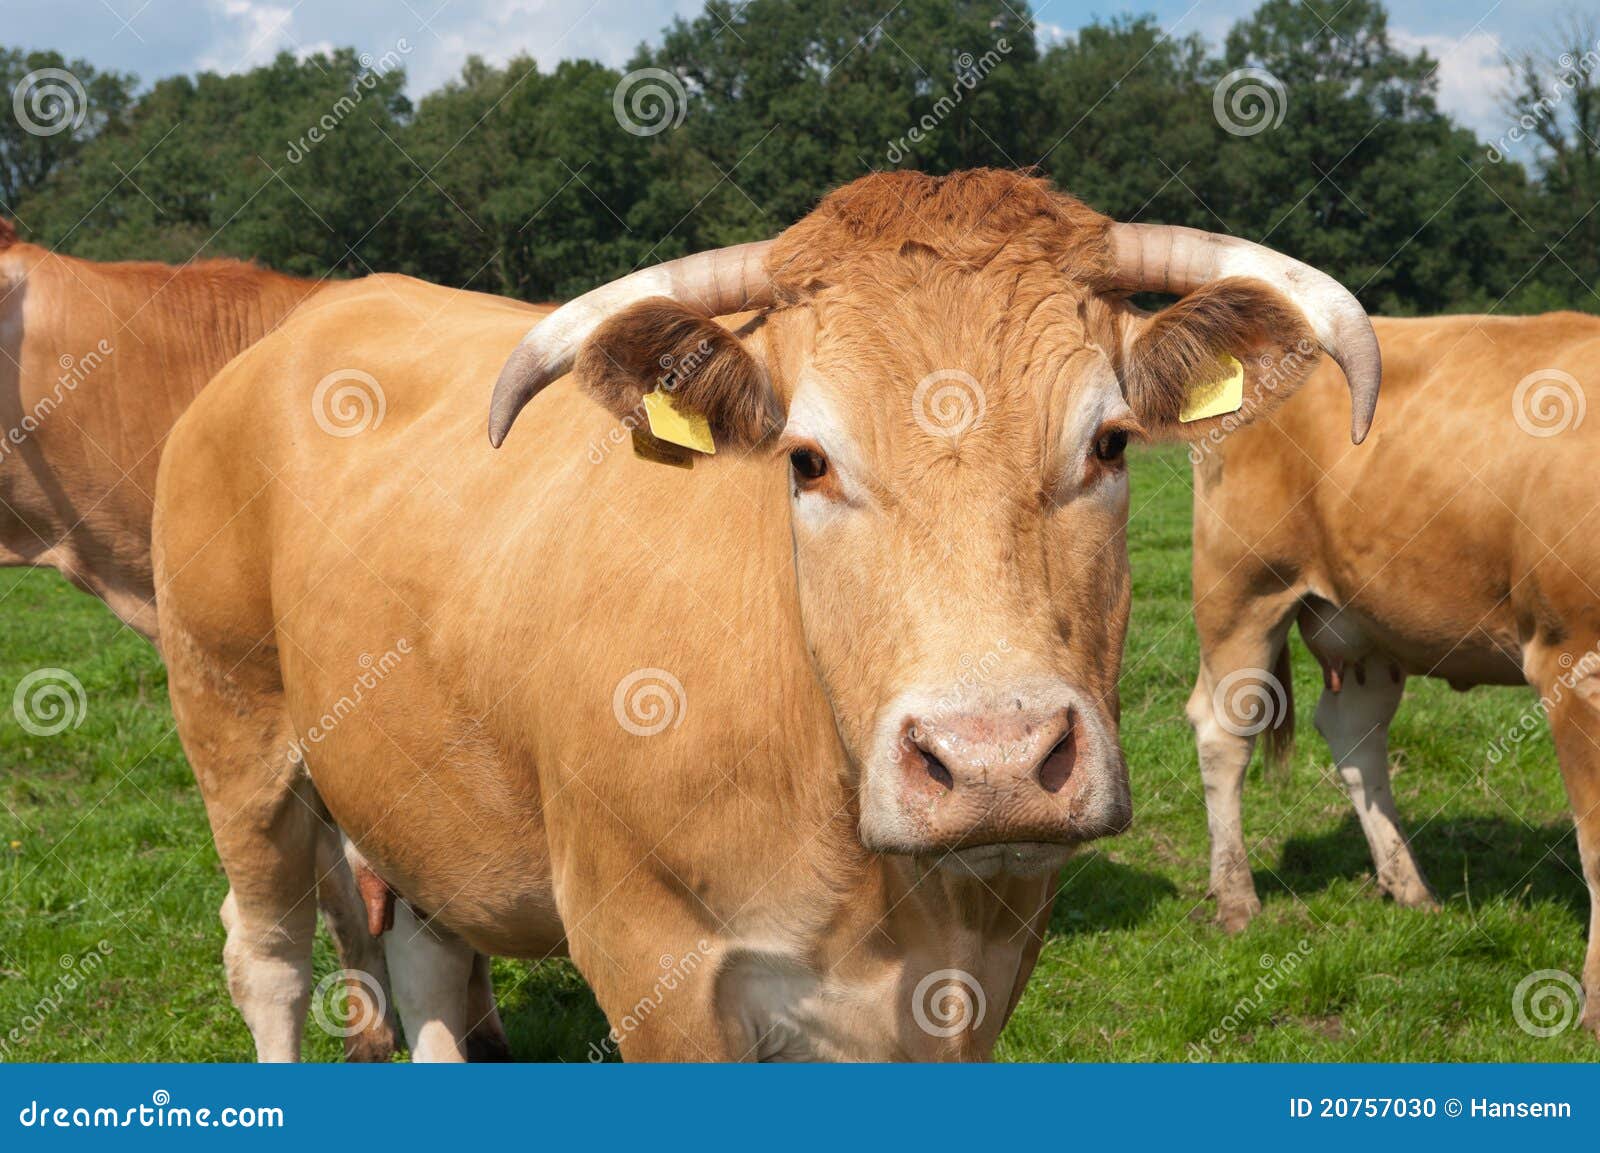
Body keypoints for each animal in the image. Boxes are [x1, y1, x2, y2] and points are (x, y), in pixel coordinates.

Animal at [151, 169, 1379, 1060]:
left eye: (1112, 441)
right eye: (807, 458)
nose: (993, 761)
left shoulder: (981, 973)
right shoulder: (654, 970)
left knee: (426, 960)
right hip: (237, 735)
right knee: (267, 956)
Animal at [1187, 310, 1600, 1038]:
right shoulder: (1570, 661)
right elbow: (1598, 847)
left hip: (1366, 622)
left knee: (1353, 734)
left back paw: (1408, 885)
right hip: (1240, 590)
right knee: (1222, 734)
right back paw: (1237, 899)